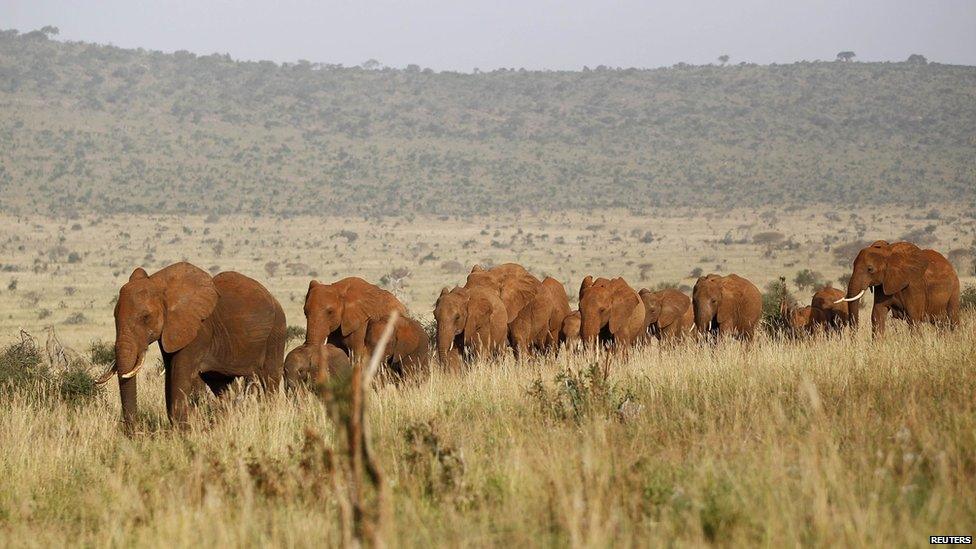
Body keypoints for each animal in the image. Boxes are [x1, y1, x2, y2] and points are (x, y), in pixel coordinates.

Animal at [95, 262, 286, 428]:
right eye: (114, 316)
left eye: (146, 317)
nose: (134, 432)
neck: (160, 285)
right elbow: (170, 373)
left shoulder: (198, 331)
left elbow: (179, 374)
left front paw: (183, 432)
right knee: (222, 386)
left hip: (276, 331)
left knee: (270, 380)